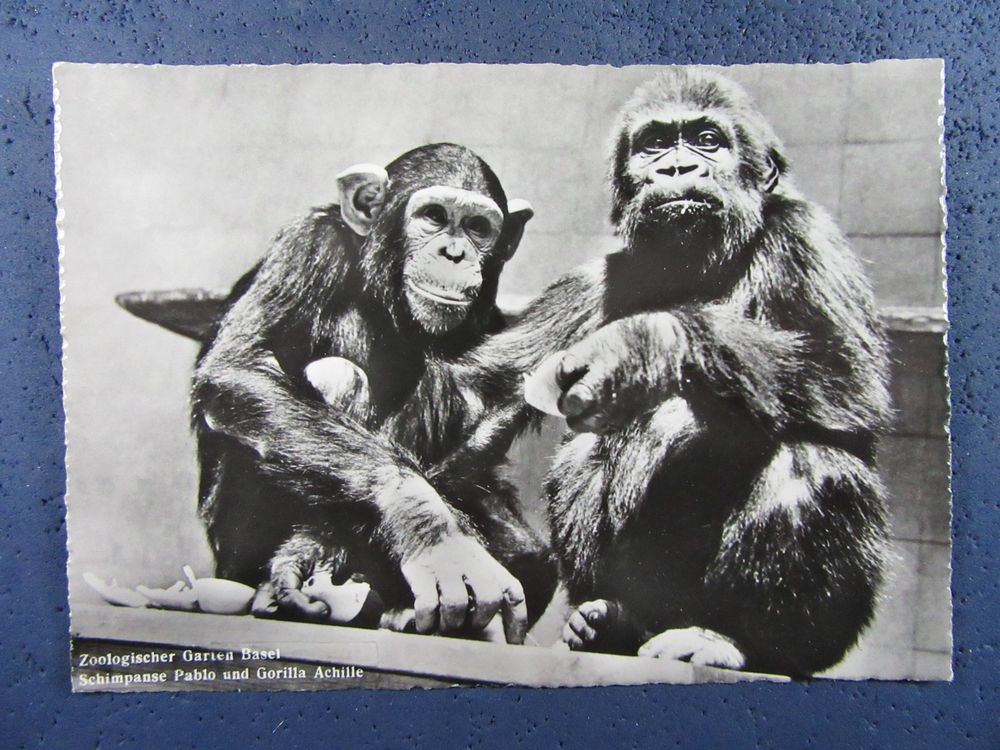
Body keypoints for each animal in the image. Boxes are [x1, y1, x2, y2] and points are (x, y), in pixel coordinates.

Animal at [191, 143, 555, 644]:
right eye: (434, 216)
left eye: (478, 227)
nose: (455, 252)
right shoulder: (306, 245)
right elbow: (239, 370)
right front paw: (428, 528)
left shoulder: (493, 317)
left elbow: (479, 411)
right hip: (234, 552)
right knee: (337, 373)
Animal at [437, 69, 892, 677]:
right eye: (654, 143)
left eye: (707, 140)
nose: (678, 168)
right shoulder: (593, 281)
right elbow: (482, 398)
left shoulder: (809, 238)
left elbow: (843, 370)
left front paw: (646, 345)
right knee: (583, 454)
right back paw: (609, 621)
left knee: (813, 461)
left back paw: (733, 640)